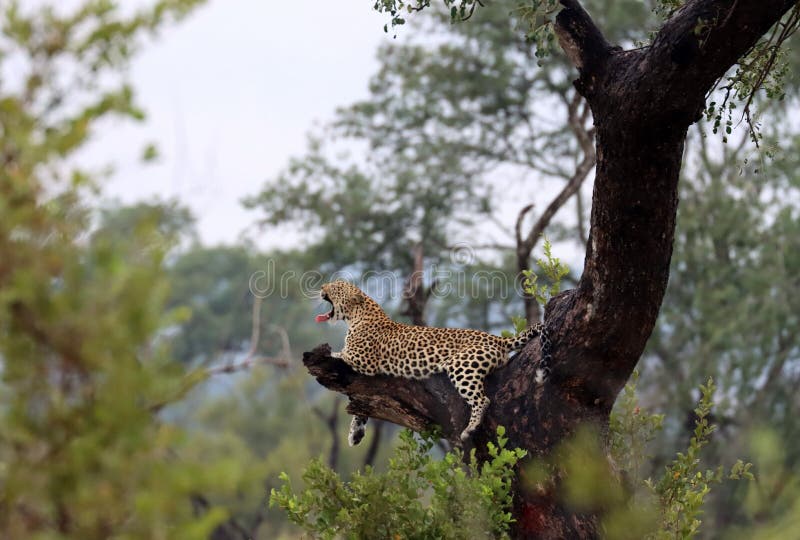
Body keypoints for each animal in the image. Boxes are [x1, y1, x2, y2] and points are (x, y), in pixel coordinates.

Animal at [314, 280, 552, 446]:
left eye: (335, 287)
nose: (322, 286)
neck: (357, 315)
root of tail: (497, 339)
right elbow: (362, 404)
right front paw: (355, 433)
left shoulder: (364, 361)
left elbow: (341, 354)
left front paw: (330, 354)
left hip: (461, 366)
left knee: (482, 400)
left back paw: (470, 429)